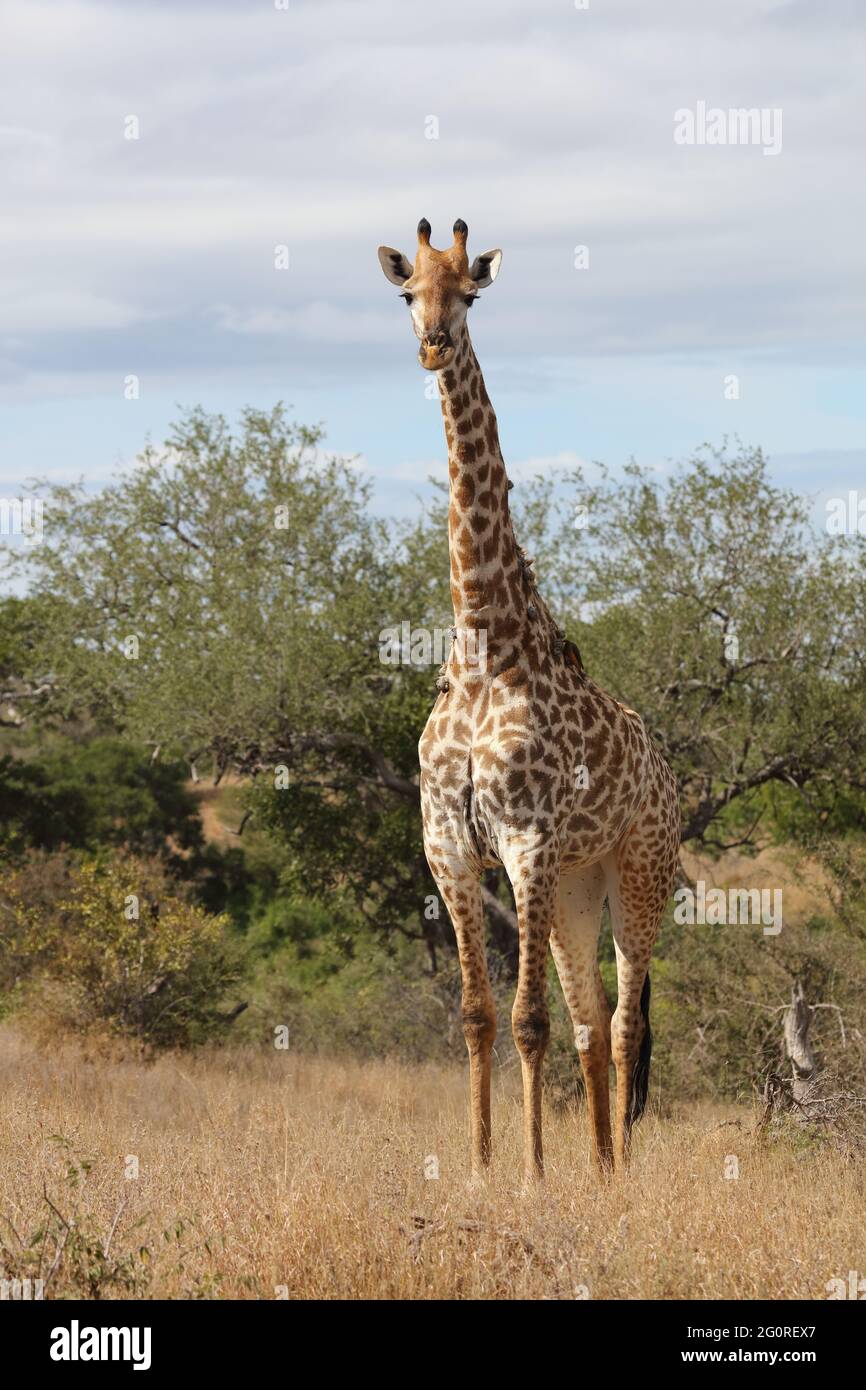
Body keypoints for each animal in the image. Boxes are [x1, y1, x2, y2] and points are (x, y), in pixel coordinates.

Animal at [377, 219, 680, 1183]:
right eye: (408, 293)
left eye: (470, 294)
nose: (433, 344)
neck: (483, 642)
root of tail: (665, 767)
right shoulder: (448, 844)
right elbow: (479, 1016)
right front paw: (482, 1167)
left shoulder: (527, 840)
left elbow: (526, 1020)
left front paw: (532, 1178)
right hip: (578, 888)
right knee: (592, 1021)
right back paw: (603, 1167)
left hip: (638, 871)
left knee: (622, 1025)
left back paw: (618, 1172)